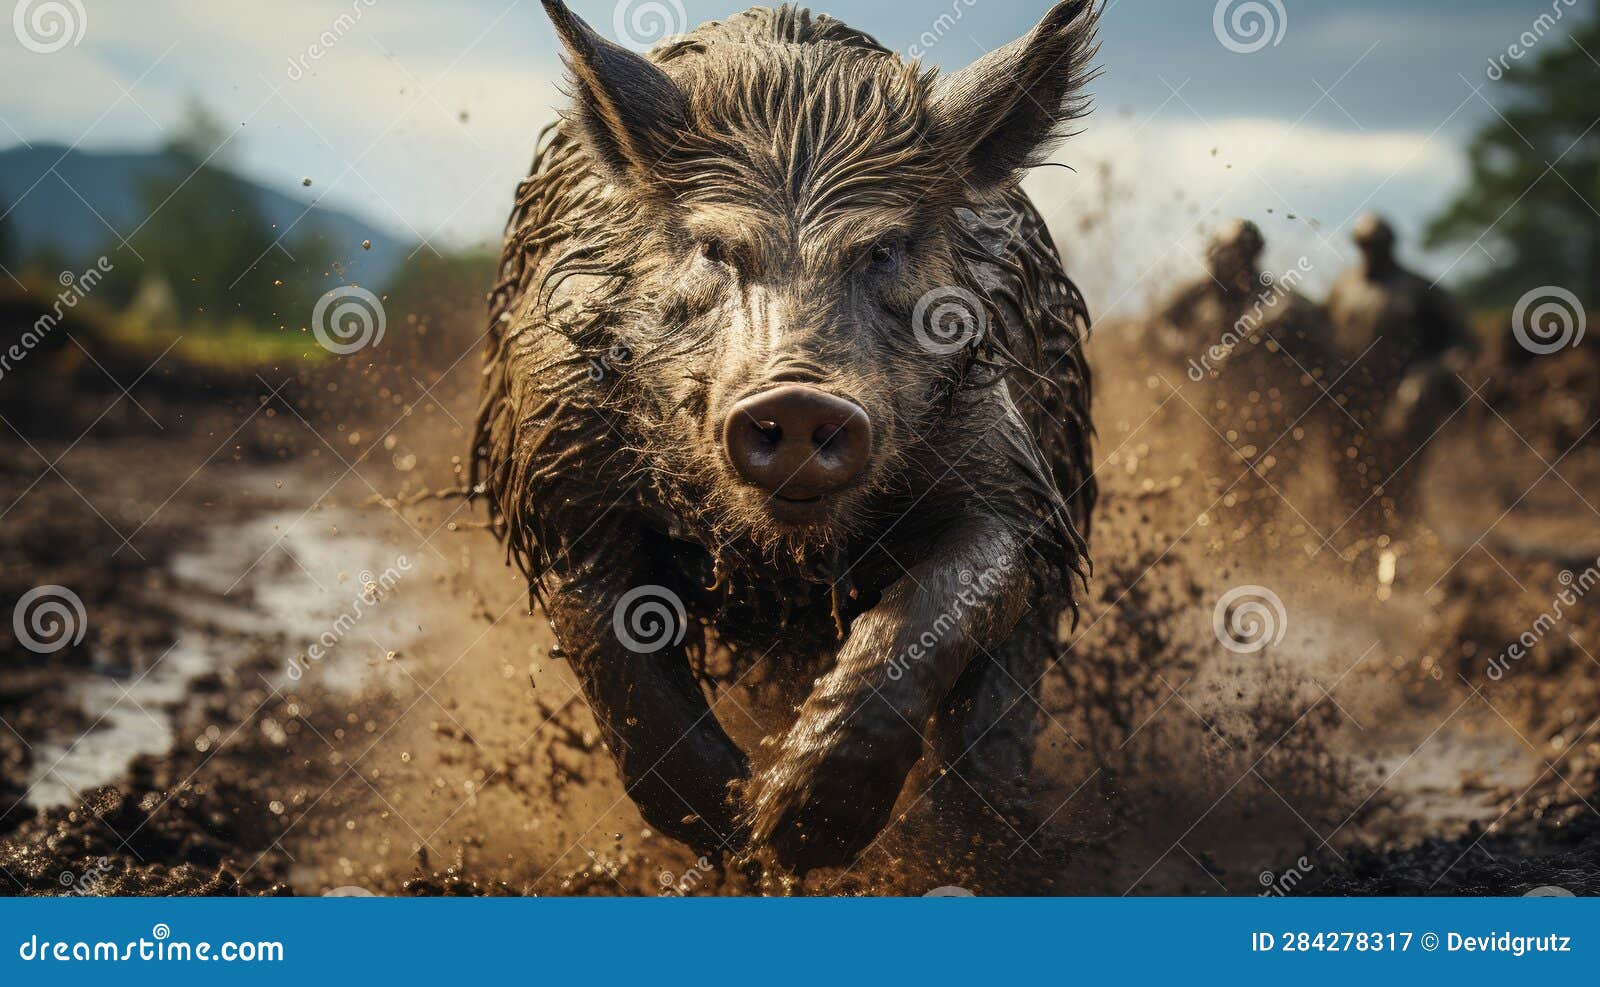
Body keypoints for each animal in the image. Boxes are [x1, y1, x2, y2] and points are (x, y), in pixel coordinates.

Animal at [472, 0, 1100, 872]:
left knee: (999, 705)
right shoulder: (556, 471)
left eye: (883, 249)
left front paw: (792, 833)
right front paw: (736, 835)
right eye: (713, 247)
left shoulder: (1009, 468)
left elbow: (942, 603)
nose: (799, 397)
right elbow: (615, 657)